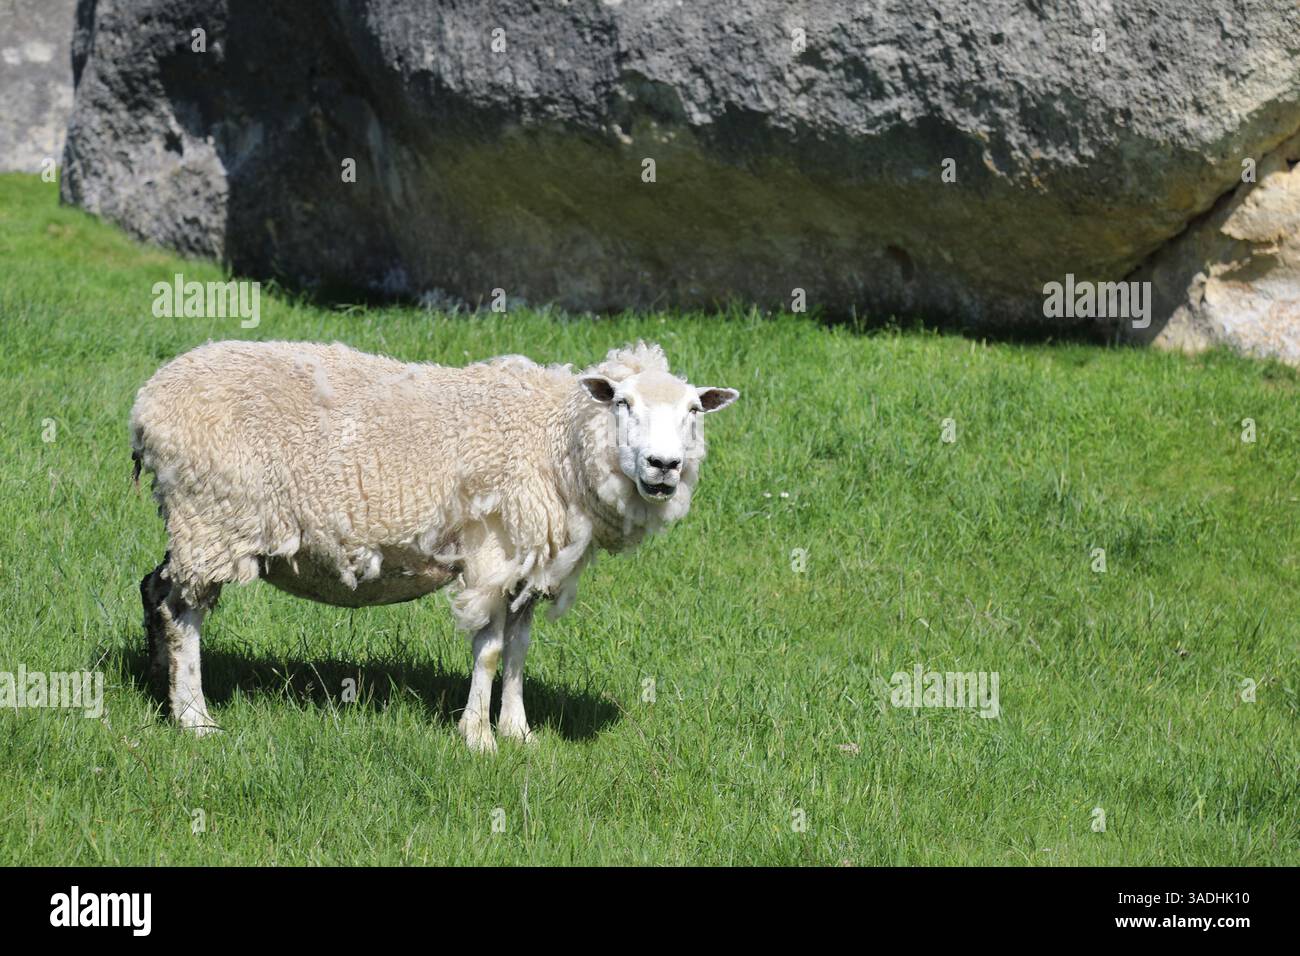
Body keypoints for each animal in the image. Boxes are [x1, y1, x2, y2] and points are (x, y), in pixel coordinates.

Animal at [130, 340, 739, 751]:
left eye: (693, 411)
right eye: (623, 404)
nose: (664, 466)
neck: (553, 441)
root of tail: (147, 402)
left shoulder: (528, 563)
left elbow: (518, 650)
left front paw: (518, 732)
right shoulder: (494, 552)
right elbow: (489, 650)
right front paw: (478, 738)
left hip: (195, 523)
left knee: (154, 587)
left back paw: (159, 682)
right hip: (210, 514)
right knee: (183, 612)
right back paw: (194, 717)